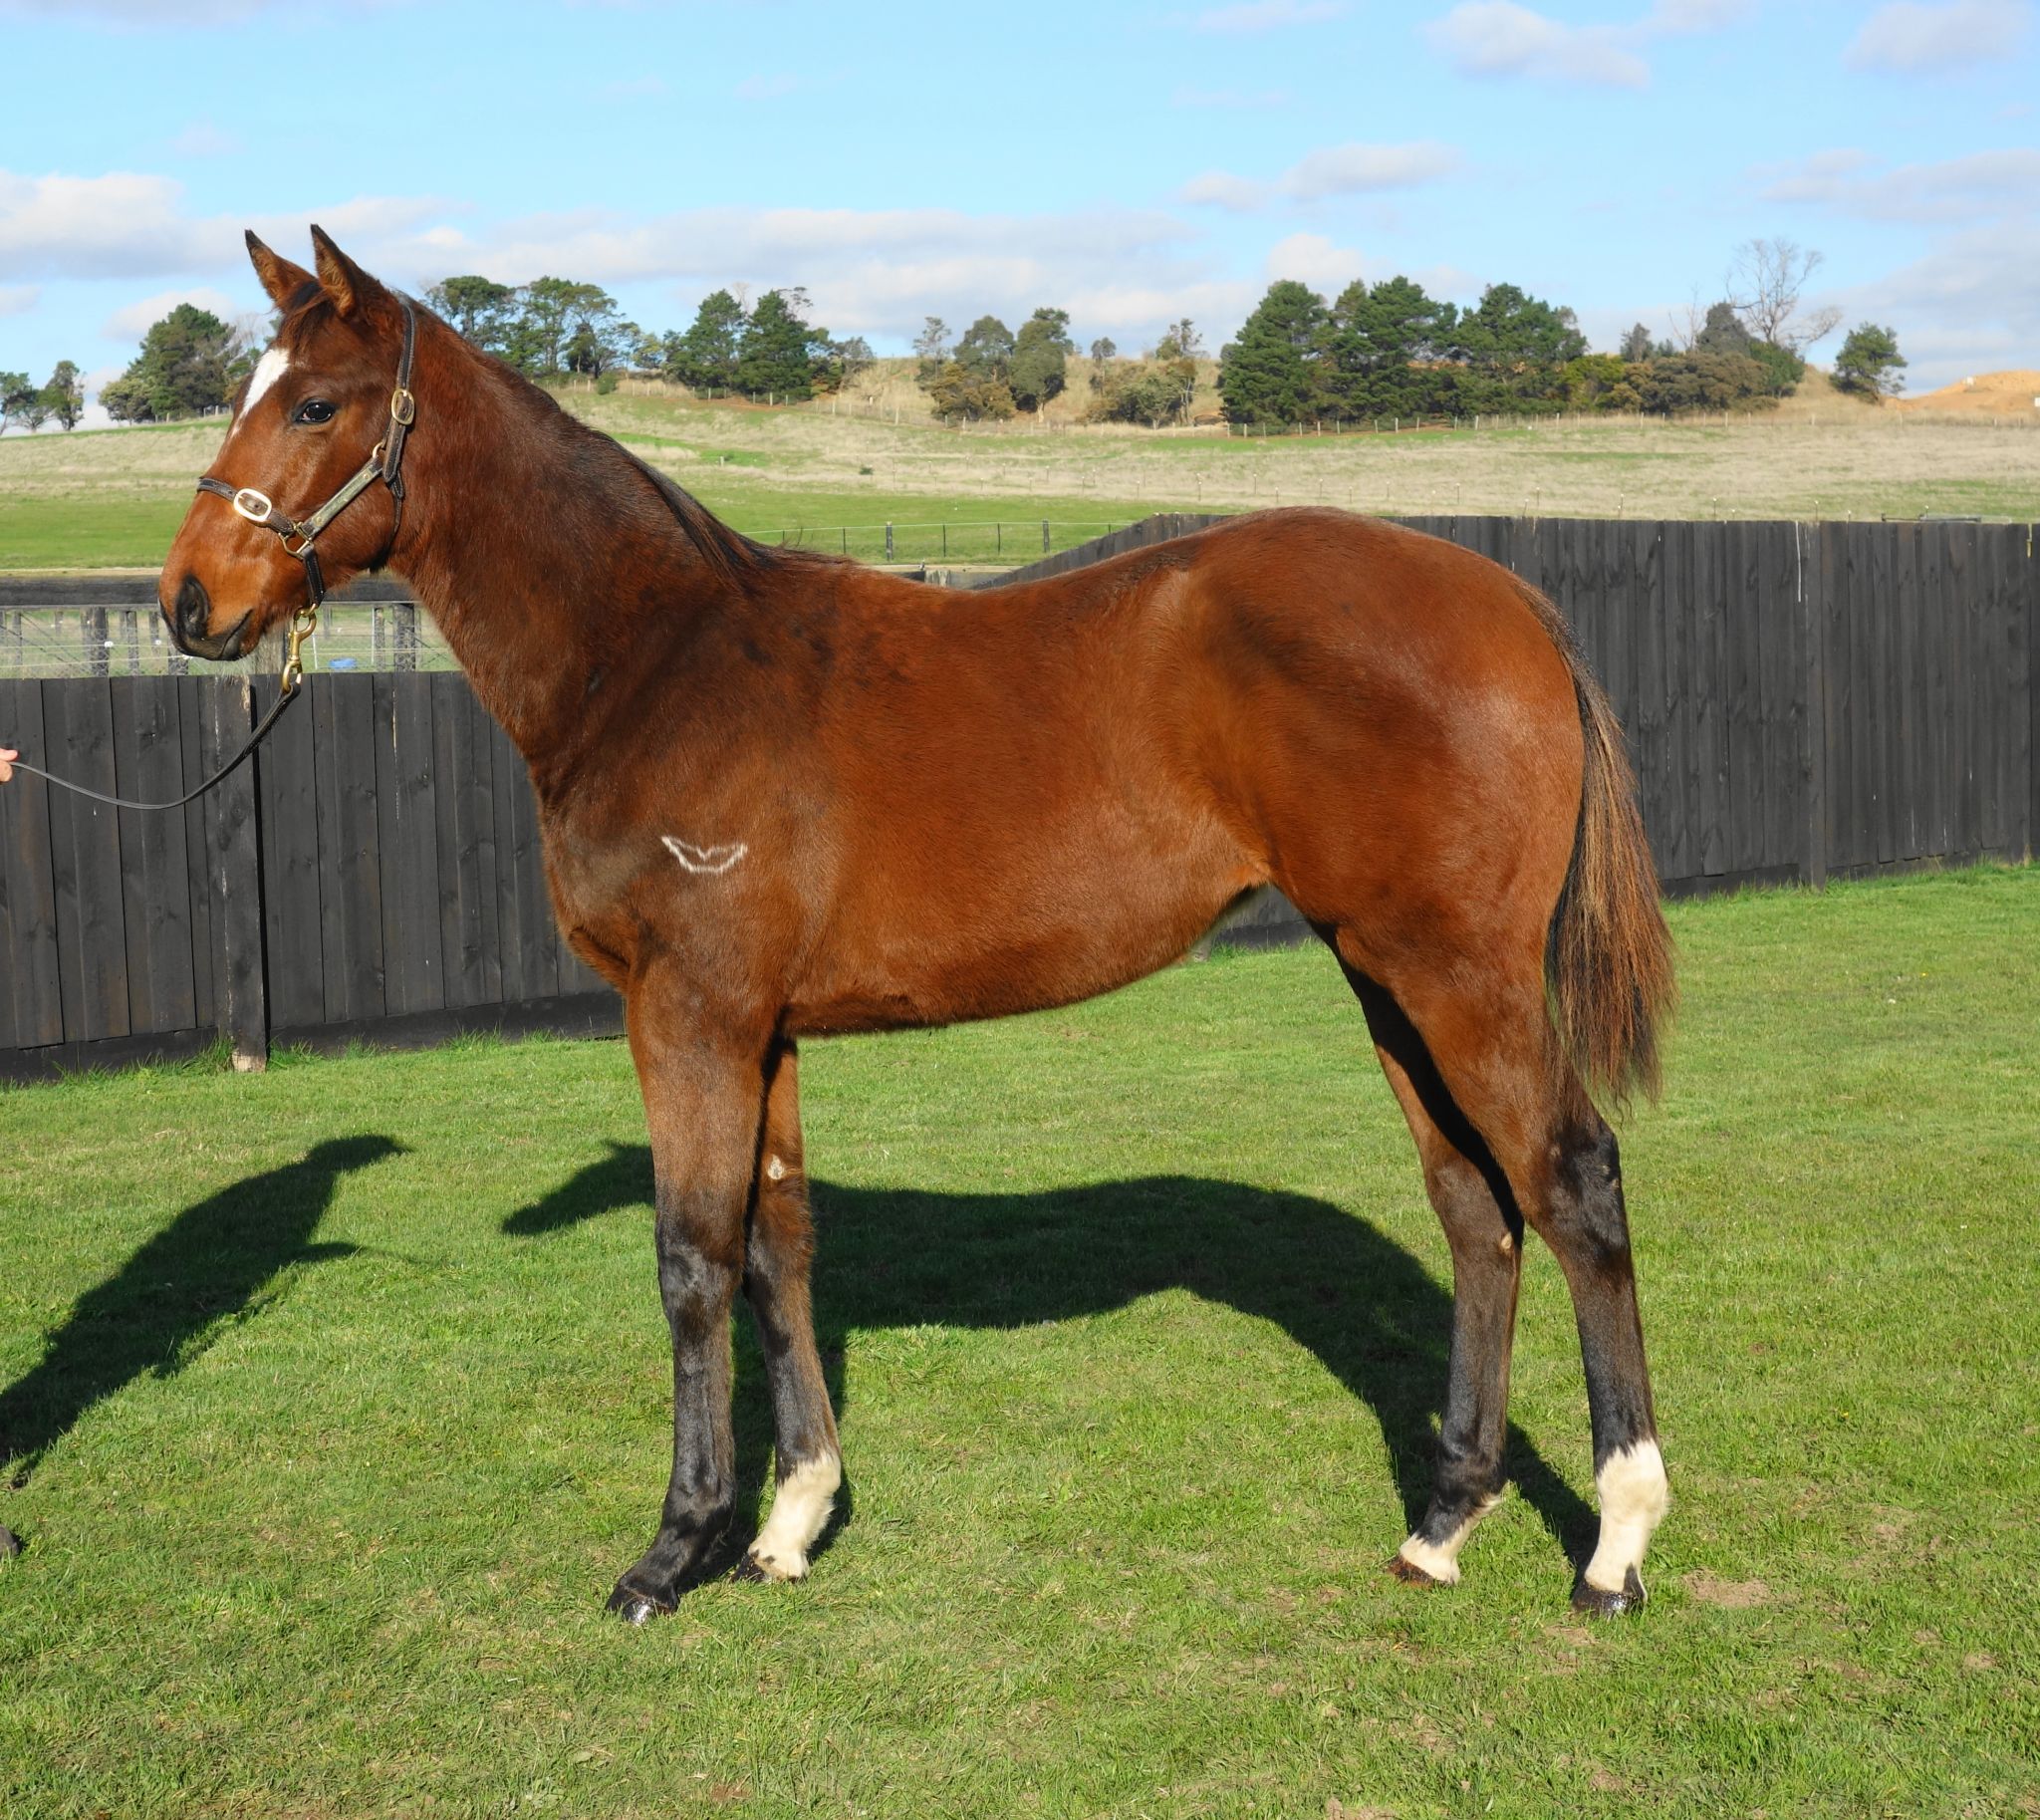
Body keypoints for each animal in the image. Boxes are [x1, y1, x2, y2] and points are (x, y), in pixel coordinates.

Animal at [157, 227, 1676, 1625]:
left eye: (314, 404)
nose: (188, 601)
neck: (654, 661)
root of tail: (1507, 600)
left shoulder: (688, 1013)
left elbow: (692, 1259)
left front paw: (675, 1547)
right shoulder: (760, 1028)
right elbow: (778, 1246)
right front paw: (791, 1520)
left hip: (1460, 974)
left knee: (1572, 1181)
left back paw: (1614, 1542)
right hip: (1385, 975)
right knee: (1476, 1207)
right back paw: (1444, 1520)